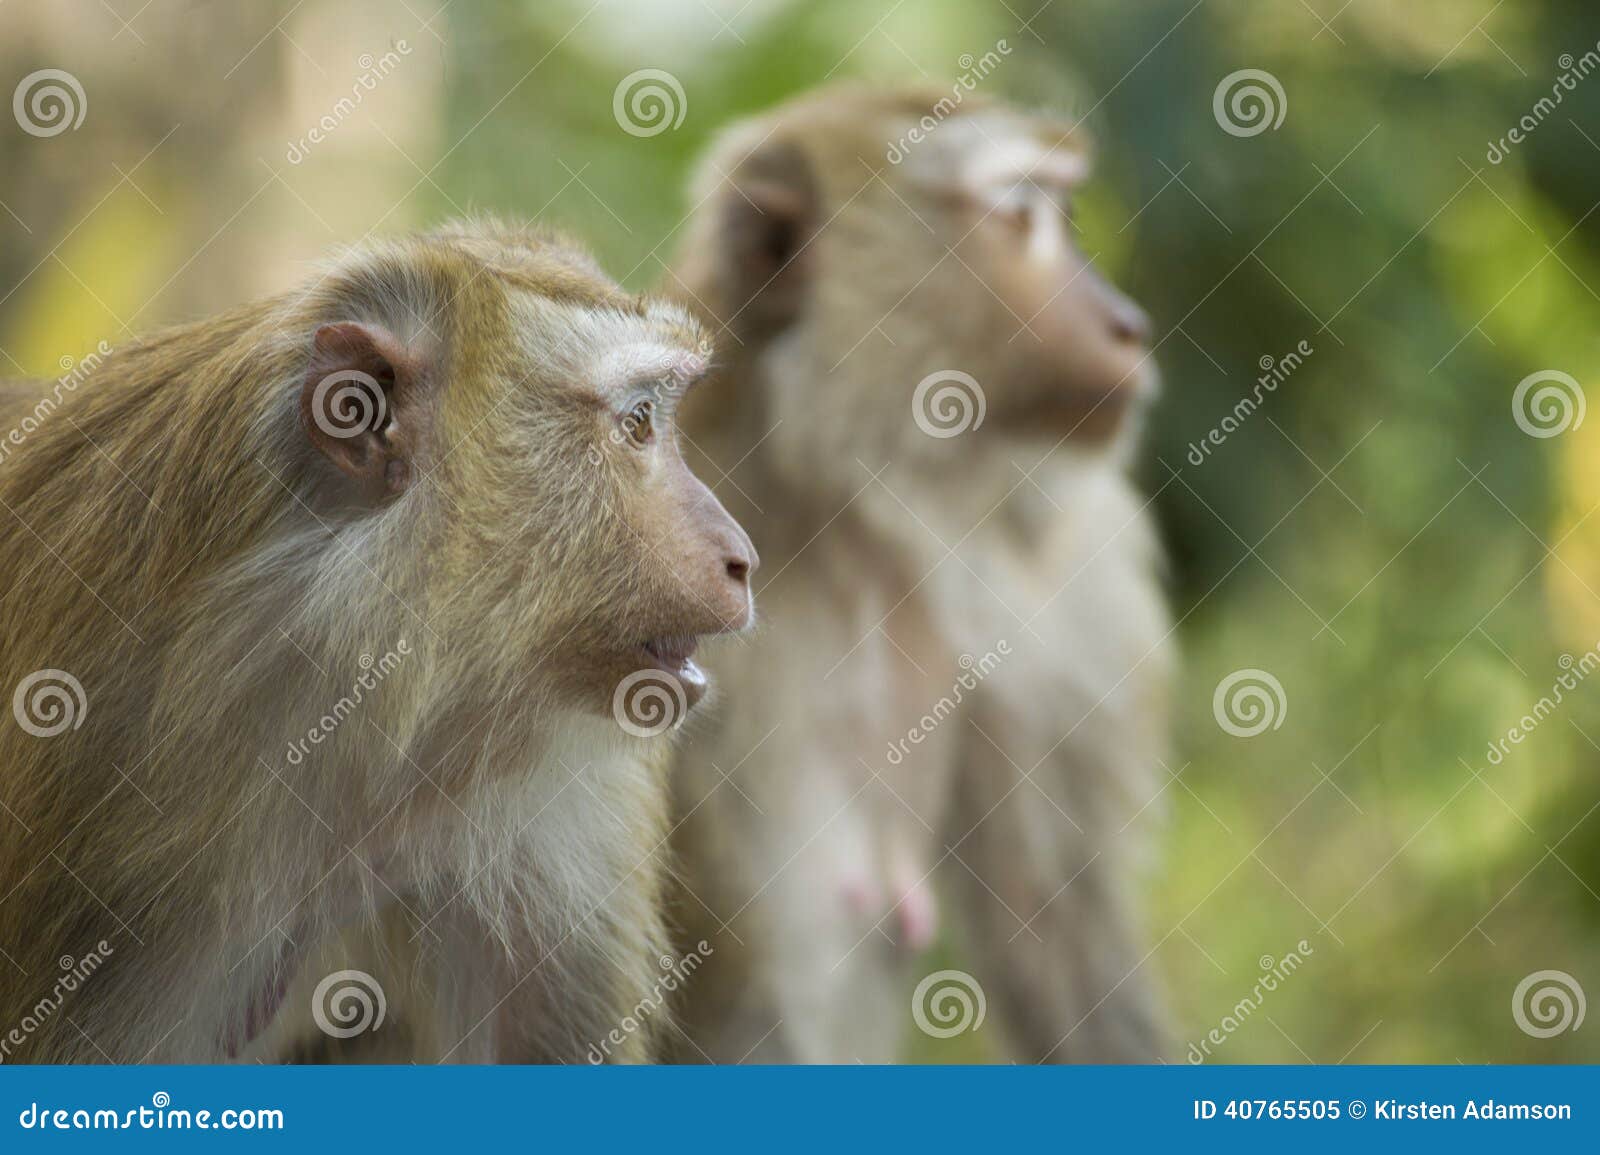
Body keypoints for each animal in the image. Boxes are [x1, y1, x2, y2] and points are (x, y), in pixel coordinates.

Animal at [661, 85, 1172, 1063]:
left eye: (1063, 213)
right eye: (1020, 212)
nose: (1130, 321)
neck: (855, 500)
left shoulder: (1066, 580)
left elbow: (1063, 937)